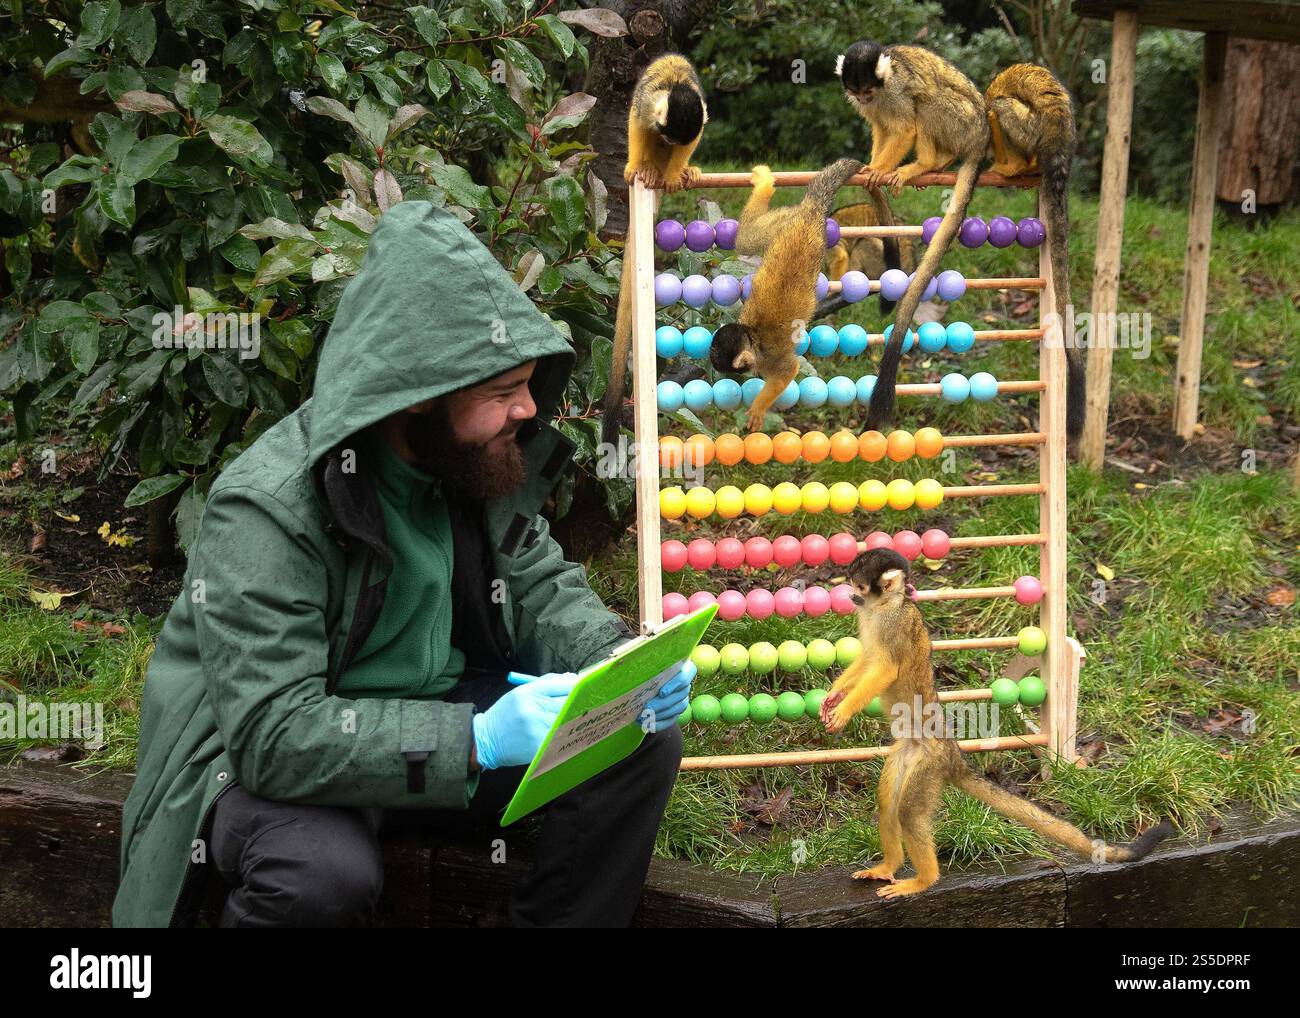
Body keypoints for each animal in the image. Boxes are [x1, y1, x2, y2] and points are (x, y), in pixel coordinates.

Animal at [601, 54, 709, 449]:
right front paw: (635, 164)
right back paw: (645, 169)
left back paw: (676, 171)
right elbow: (636, 123)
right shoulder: (648, 107)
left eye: (673, 136)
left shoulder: (693, 122)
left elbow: (693, 137)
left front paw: (679, 171)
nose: (666, 138)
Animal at [708, 157, 866, 433]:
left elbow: (787, 372)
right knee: (747, 240)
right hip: (784, 222)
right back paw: (764, 183)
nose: (723, 373)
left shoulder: (771, 358)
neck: (752, 337)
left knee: (746, 241)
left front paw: (759, 407)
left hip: (810, 234)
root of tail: (809, 212)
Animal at [820, 548, 1175, 898]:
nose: (851, 596)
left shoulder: (893, 624)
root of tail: (953, 753)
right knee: (888, 803)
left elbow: (884, 668)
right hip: (905, 756)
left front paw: (844, 711)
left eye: (860, 586)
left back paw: (924, 880)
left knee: (908, 812)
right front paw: (834, 697)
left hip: (928, 765)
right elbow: (866, 659)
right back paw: (888, 867)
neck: (886, 605)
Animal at [835, 41, 990, 434]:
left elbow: (904, 127)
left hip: (963, 123)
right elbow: (880, 127)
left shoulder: (893, 92)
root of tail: (983, 136)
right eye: (858, 92)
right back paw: (937, 164)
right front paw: (870, 166)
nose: (863, 98)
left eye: (870, 89)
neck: (882, 85)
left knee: (926, 102)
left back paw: (929, 162)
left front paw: (878, 169)